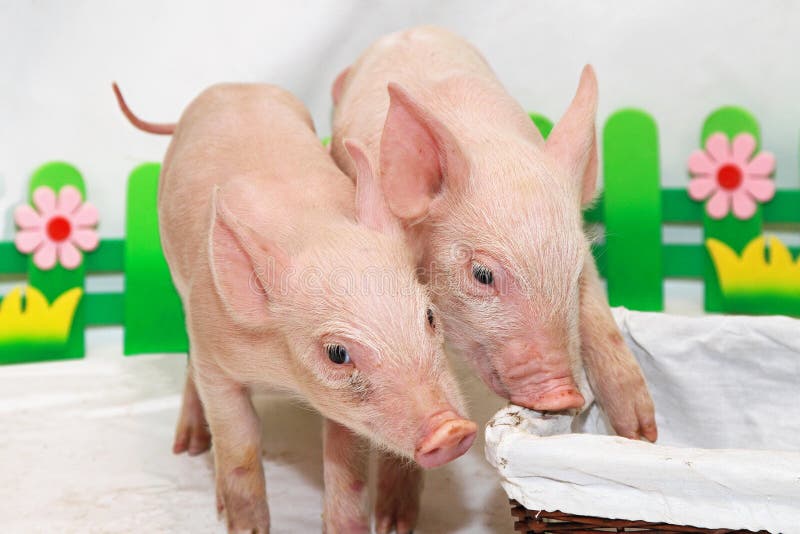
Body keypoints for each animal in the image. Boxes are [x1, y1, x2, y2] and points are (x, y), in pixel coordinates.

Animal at [113, 82, 476, 533]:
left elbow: (345, 467)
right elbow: (239, 446)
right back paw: (189, 448)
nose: (452, 429)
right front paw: (244, 526)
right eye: (337, 353)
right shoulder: (216, 356)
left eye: (429, 316)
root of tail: (230, 86)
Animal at [330, 27, 657, 527]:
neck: (485, 142)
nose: (564, 395)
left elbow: (600, 322)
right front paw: (393, 525)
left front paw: (641, 436)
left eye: (574, 272)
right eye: (482, 274)